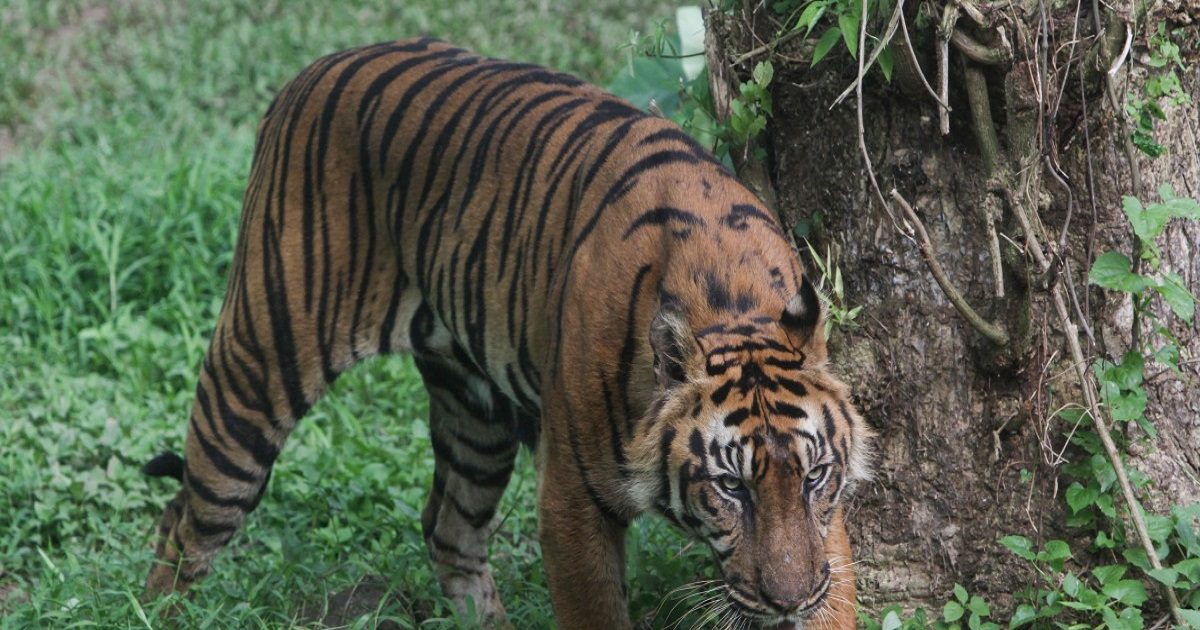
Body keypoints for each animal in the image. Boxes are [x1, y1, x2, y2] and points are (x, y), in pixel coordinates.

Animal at [141, 37, 872, 629]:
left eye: (814, 477)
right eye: (730, 488)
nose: (789, 599)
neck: (733, 301)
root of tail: (310, 72)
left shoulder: (826, 529)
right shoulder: (573, 500)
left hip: (475, 415)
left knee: (448, 529)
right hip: (257, 370)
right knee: (182, 523)